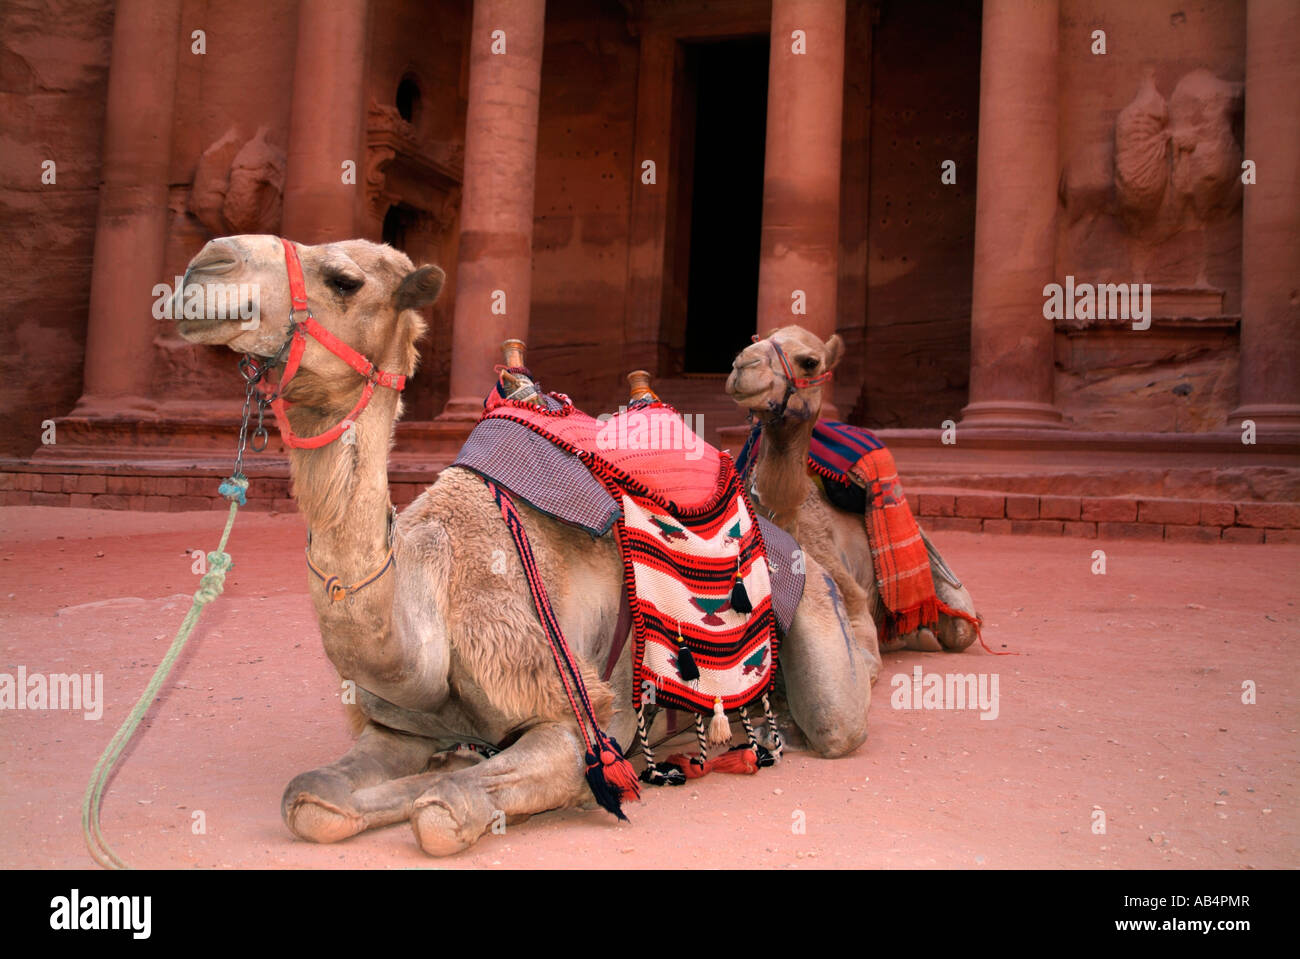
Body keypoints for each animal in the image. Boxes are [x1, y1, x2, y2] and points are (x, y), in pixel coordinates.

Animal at [174, 236, 876, 856]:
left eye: (344, 280)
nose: (204, 265)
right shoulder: (393, 725)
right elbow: (311, 798)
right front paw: (427, 769)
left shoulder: (580, 718)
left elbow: (445, 807)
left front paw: (444, 782)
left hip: (813, 604)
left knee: (838, 716)